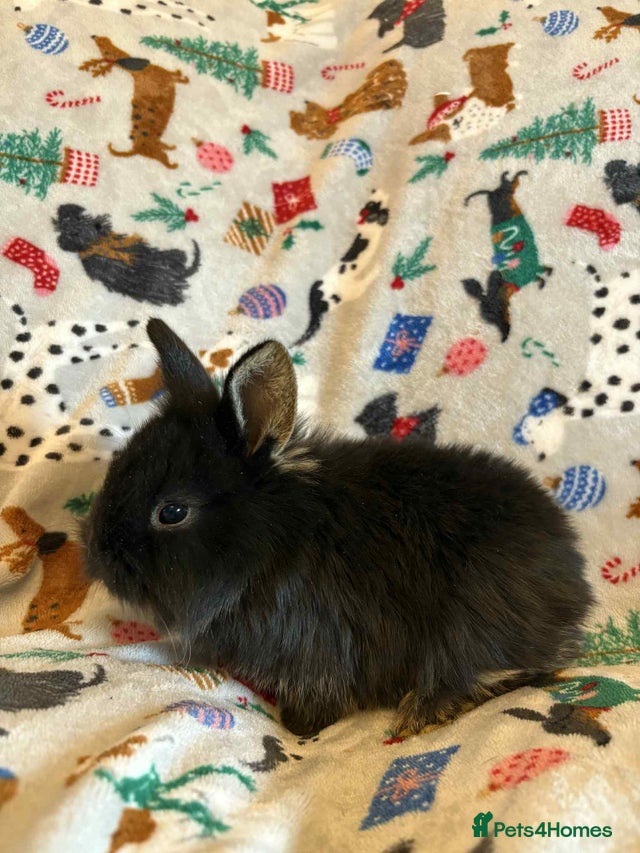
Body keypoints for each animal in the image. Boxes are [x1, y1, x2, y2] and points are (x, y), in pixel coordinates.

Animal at [83, 319, 593, 737]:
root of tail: (575, 579)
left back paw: (422, 713)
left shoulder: (316, 650)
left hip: (472, 629)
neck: (272, 540)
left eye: (171, 512)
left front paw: (298, 728)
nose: (93, 558)